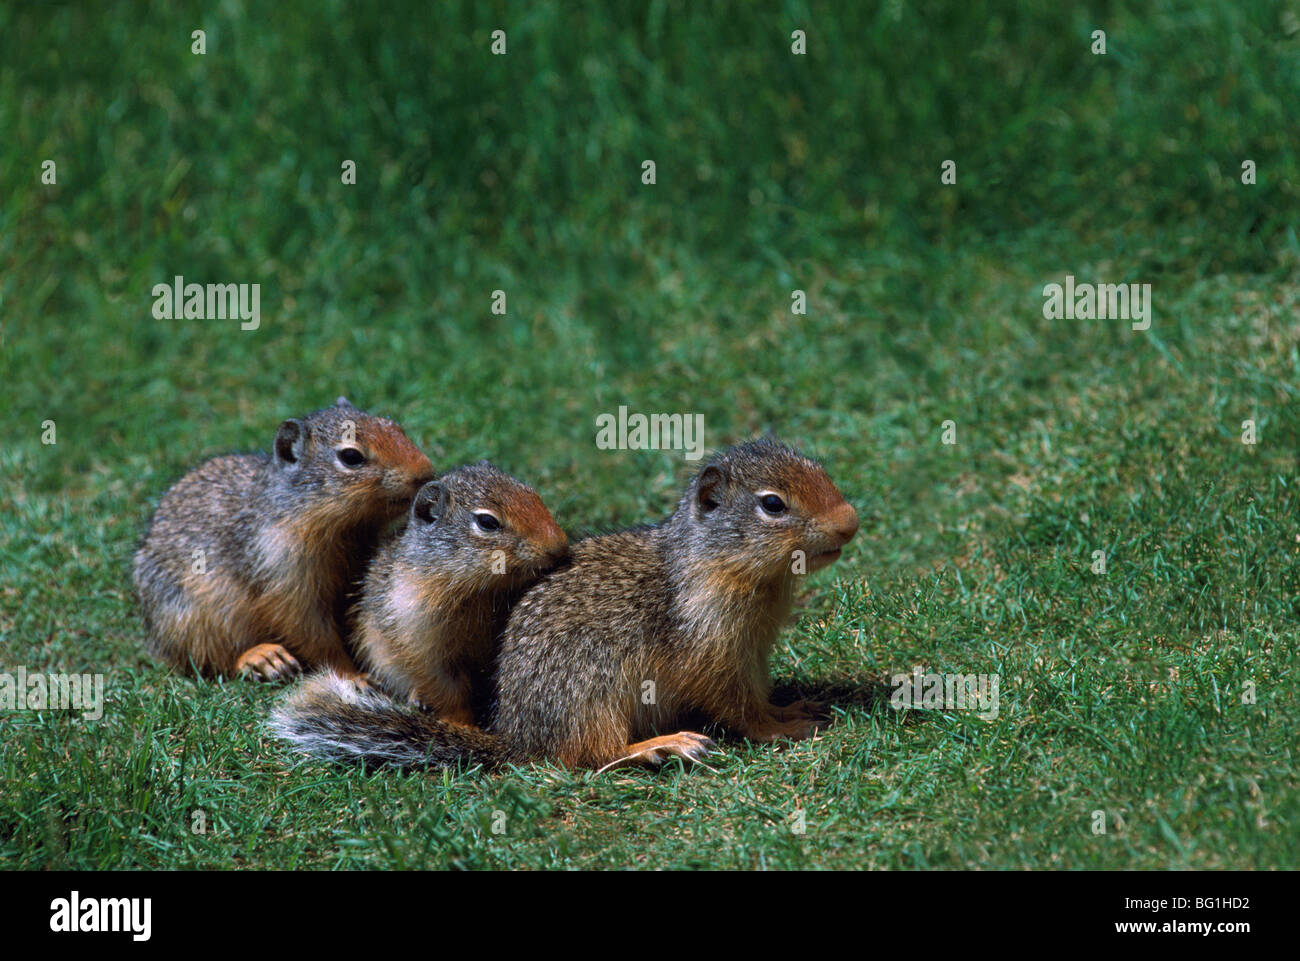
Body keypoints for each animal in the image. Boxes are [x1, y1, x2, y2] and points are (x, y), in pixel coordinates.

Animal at [134, 397, 434, 681]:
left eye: (394, 427)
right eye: (351, 456)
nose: (426, 472)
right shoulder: (287, 584)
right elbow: (315, 638)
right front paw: (353, 677)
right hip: (192, 620)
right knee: (211, 659)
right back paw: (262, 658)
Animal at [350, 462, 568, 727]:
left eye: (533, 495)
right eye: (487, 522)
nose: (560, 546)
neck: (479, 592)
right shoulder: (425, 649)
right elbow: (448, 691)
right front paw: (460, 723)